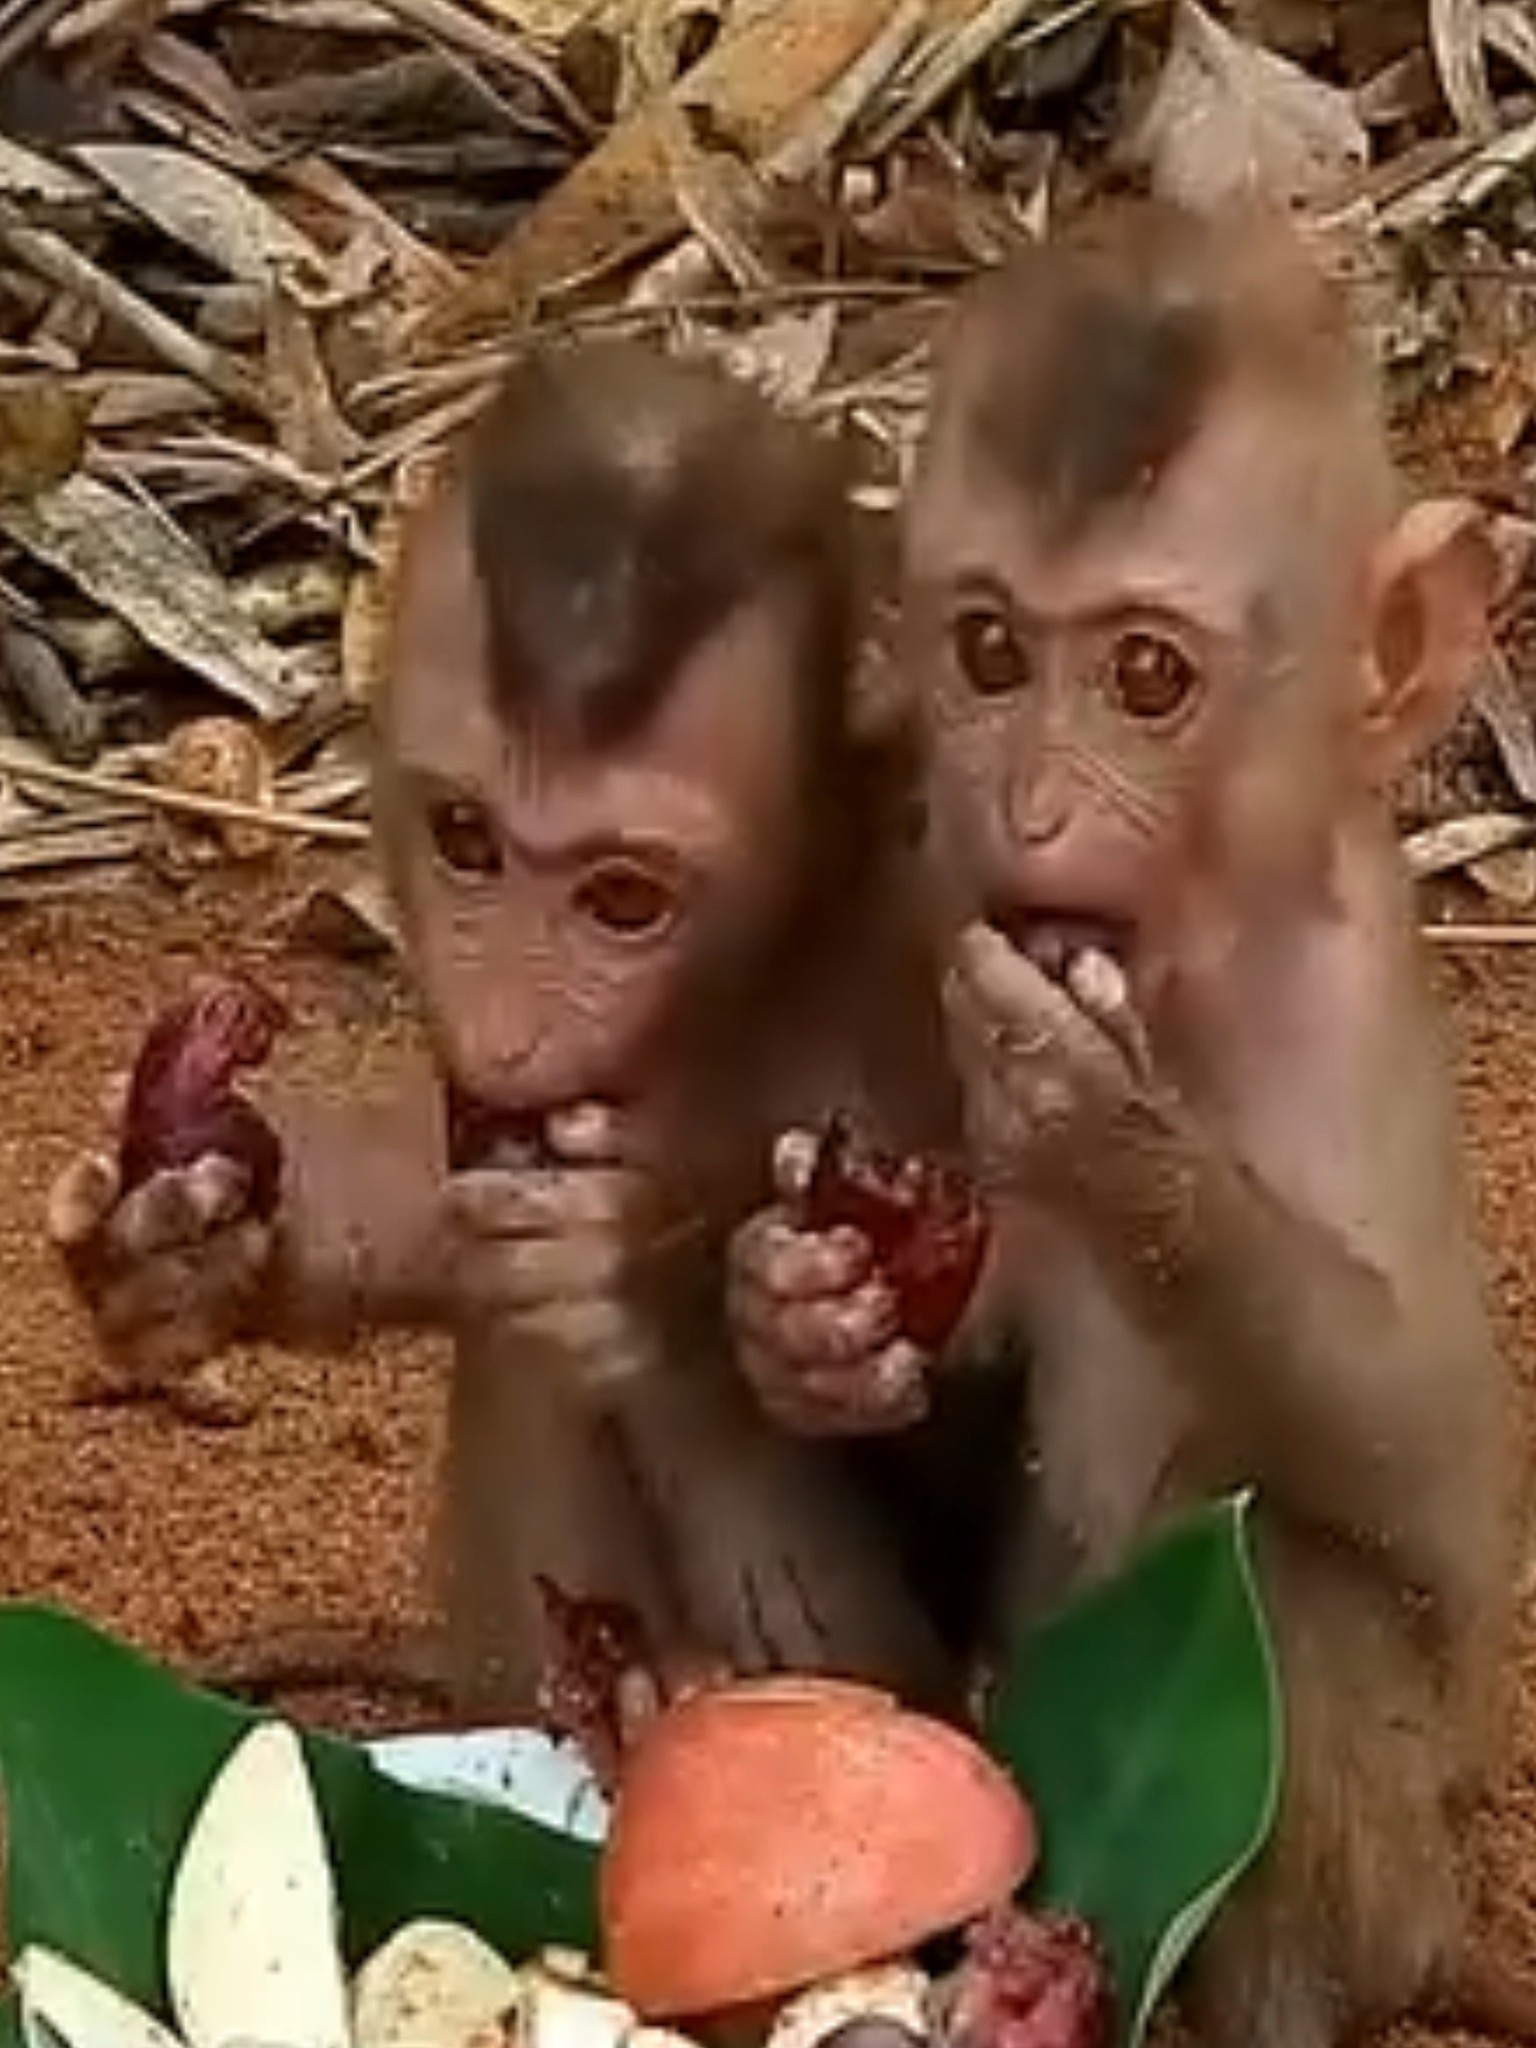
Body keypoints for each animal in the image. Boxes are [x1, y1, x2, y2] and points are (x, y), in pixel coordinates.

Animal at [47, 335, 1027, 1731]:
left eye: (624, 900)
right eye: (466, 839)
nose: (510, 1031)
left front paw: (683, 1297)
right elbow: (451, 1178)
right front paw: (176, 1250)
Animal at [726, 201, 1524, 2048]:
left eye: (1147, 676)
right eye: (989, 652)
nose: (1025, 809)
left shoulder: (1334, 1031)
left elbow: (1435, 1456)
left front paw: (1114, 1138)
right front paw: (803, 1314)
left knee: (1301, 1596)